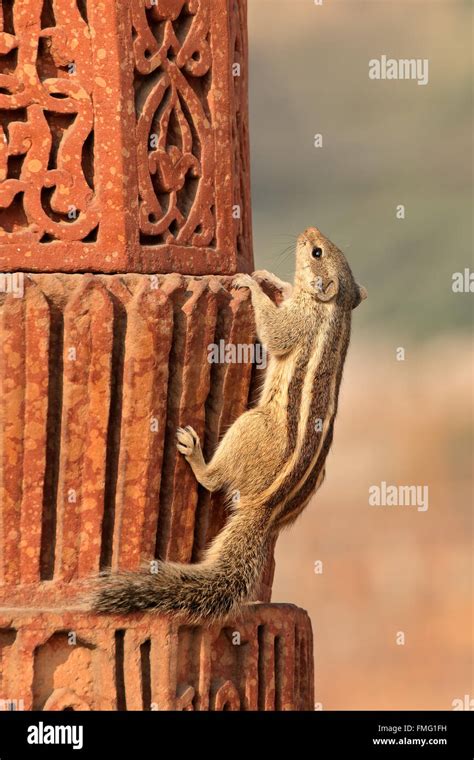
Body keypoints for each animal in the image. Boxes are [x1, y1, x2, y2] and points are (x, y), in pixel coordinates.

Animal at [91, 227, 367, 622]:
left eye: (316, 252)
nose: (308, 231)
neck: (334, 307)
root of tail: (266, 509)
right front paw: (270, 278)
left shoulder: (296, 324)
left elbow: (275, 331)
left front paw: (250, 284)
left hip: (249, 427)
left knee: (213, 479)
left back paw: (196, 456)